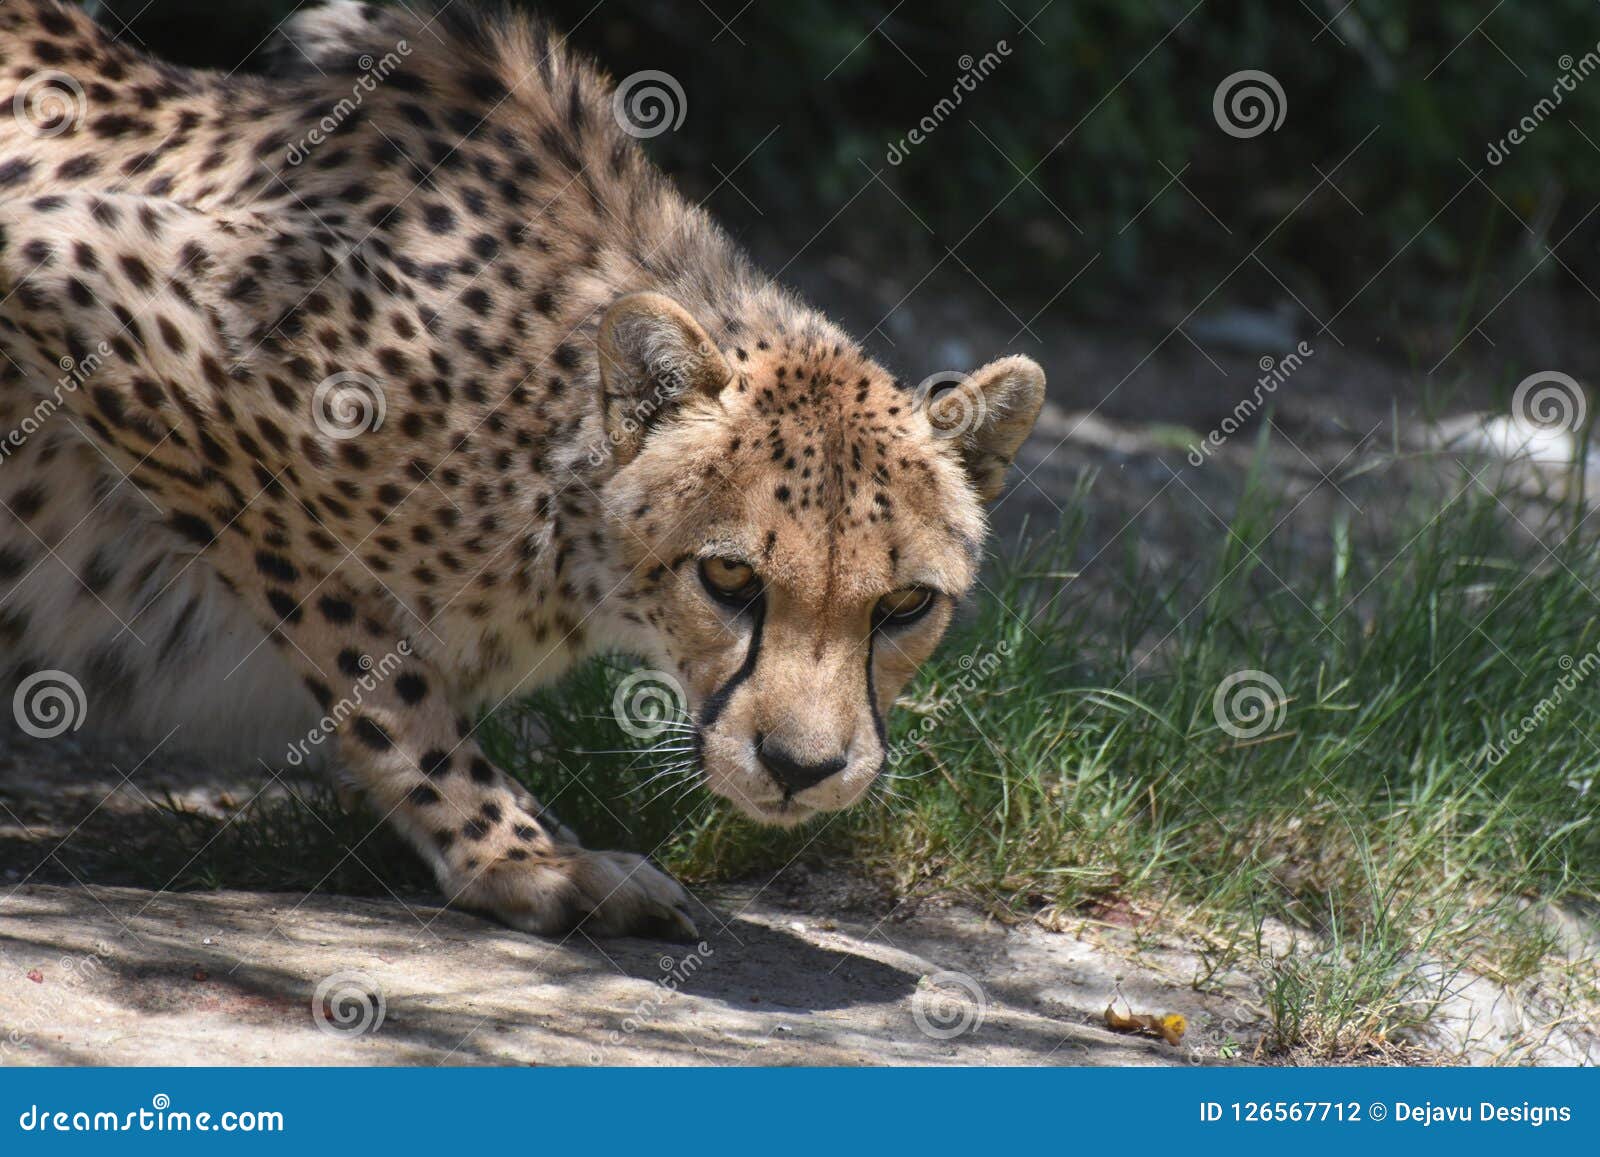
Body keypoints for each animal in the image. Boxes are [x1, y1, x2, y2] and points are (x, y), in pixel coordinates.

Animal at [0, 0, 1045, 940]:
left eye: (906, 605)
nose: (800, 768)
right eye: (728, 576)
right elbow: (368, 654)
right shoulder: (68, 261)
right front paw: (519, 855)